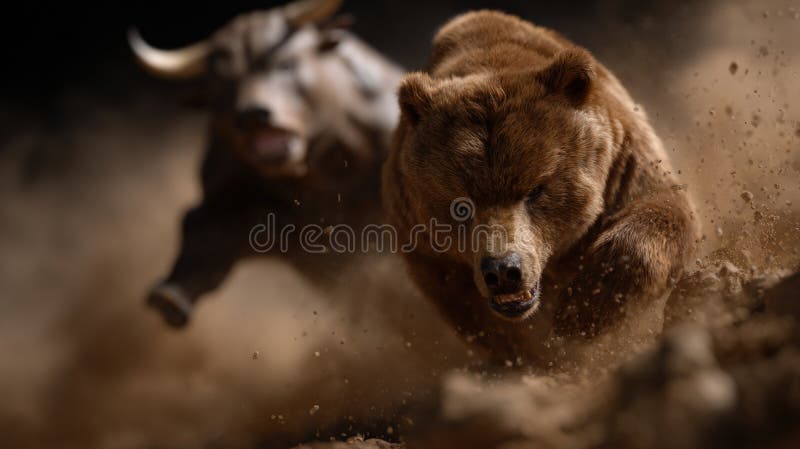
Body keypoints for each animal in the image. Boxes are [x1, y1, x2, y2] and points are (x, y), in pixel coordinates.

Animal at [383, 10, 699, 363]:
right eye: (461, 205)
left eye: (534, 189)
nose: (503, 271)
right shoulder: (422, 236)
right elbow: (466, 304)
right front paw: (528, 351)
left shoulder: (624, 164)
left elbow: (660, 212)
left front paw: (582, 312)